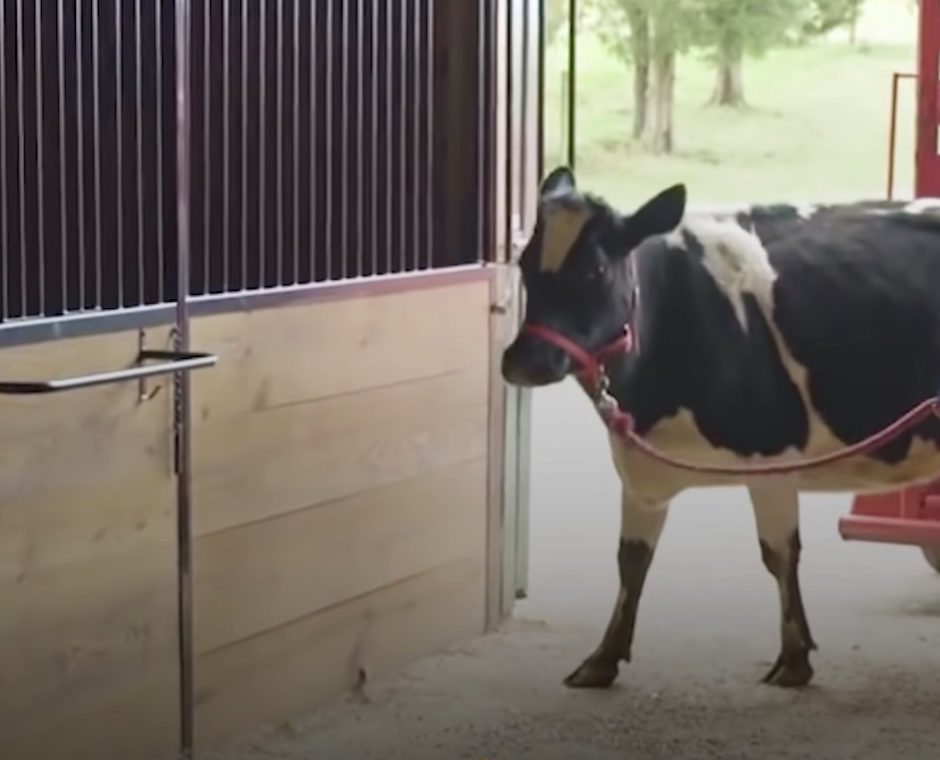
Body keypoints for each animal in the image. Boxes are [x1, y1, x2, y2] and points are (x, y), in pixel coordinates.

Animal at [500, 166, 940, 690]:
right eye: (524, 261)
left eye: (596, 270)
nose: (524, 362)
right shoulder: (643, 466)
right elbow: (631, 561)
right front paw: (602, 658)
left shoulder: (772, 455)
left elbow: (779, 554)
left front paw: (794, 659)